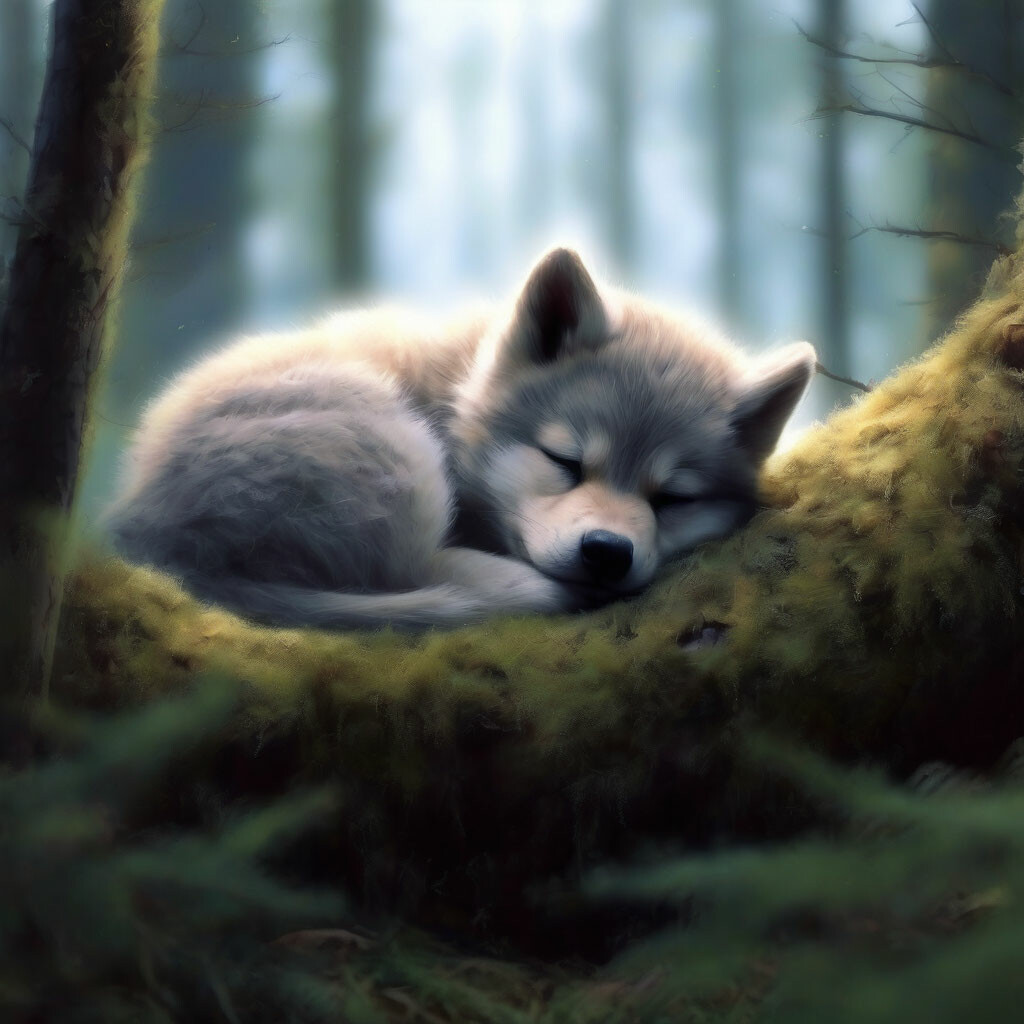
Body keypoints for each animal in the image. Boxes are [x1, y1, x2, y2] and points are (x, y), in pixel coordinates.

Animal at [106, 248, 815, 630]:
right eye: (564, 461)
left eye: (673, 499)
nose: (607, 552)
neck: (454, 393)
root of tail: (154, 538)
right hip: (391, 444)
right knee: (409, 577)